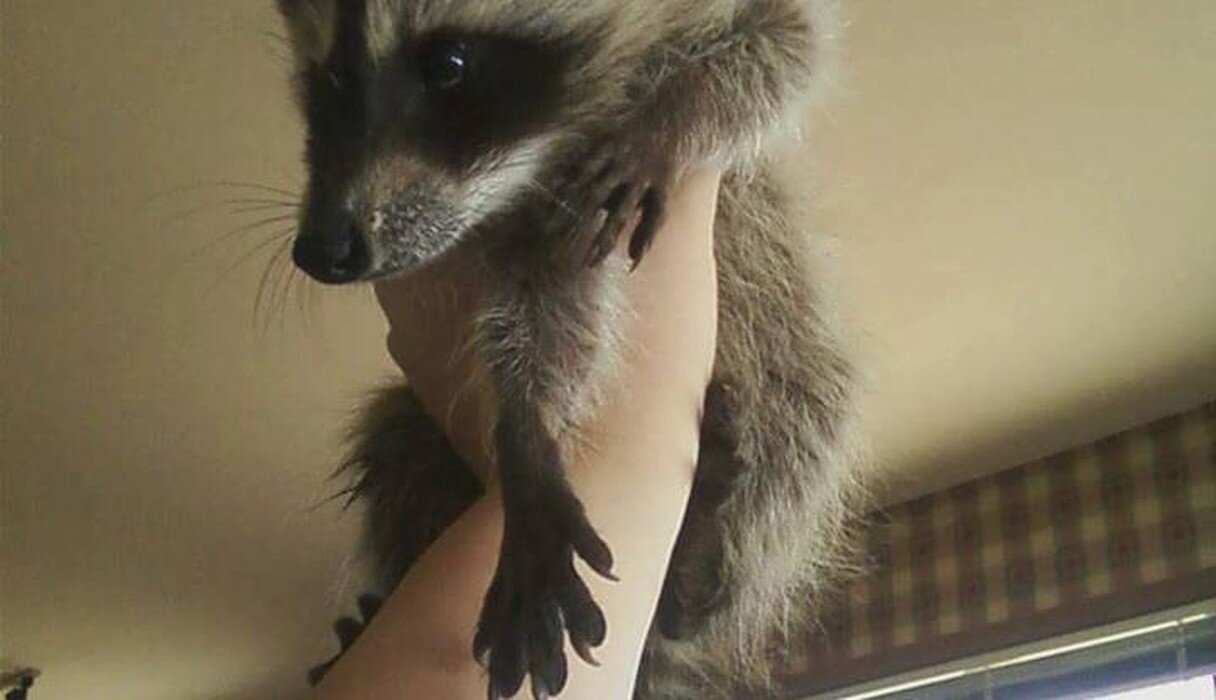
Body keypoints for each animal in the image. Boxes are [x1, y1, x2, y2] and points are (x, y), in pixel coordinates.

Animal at [277, 0, 863, 697]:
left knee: (803, 425)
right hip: (418, 431)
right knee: (394, 440)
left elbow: (787, 43)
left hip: (792, 363)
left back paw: (693, 569)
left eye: (448, 65)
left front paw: (671, 121)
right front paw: (525, 429)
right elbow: (548, 307)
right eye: (327, 82)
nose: (320, 248)